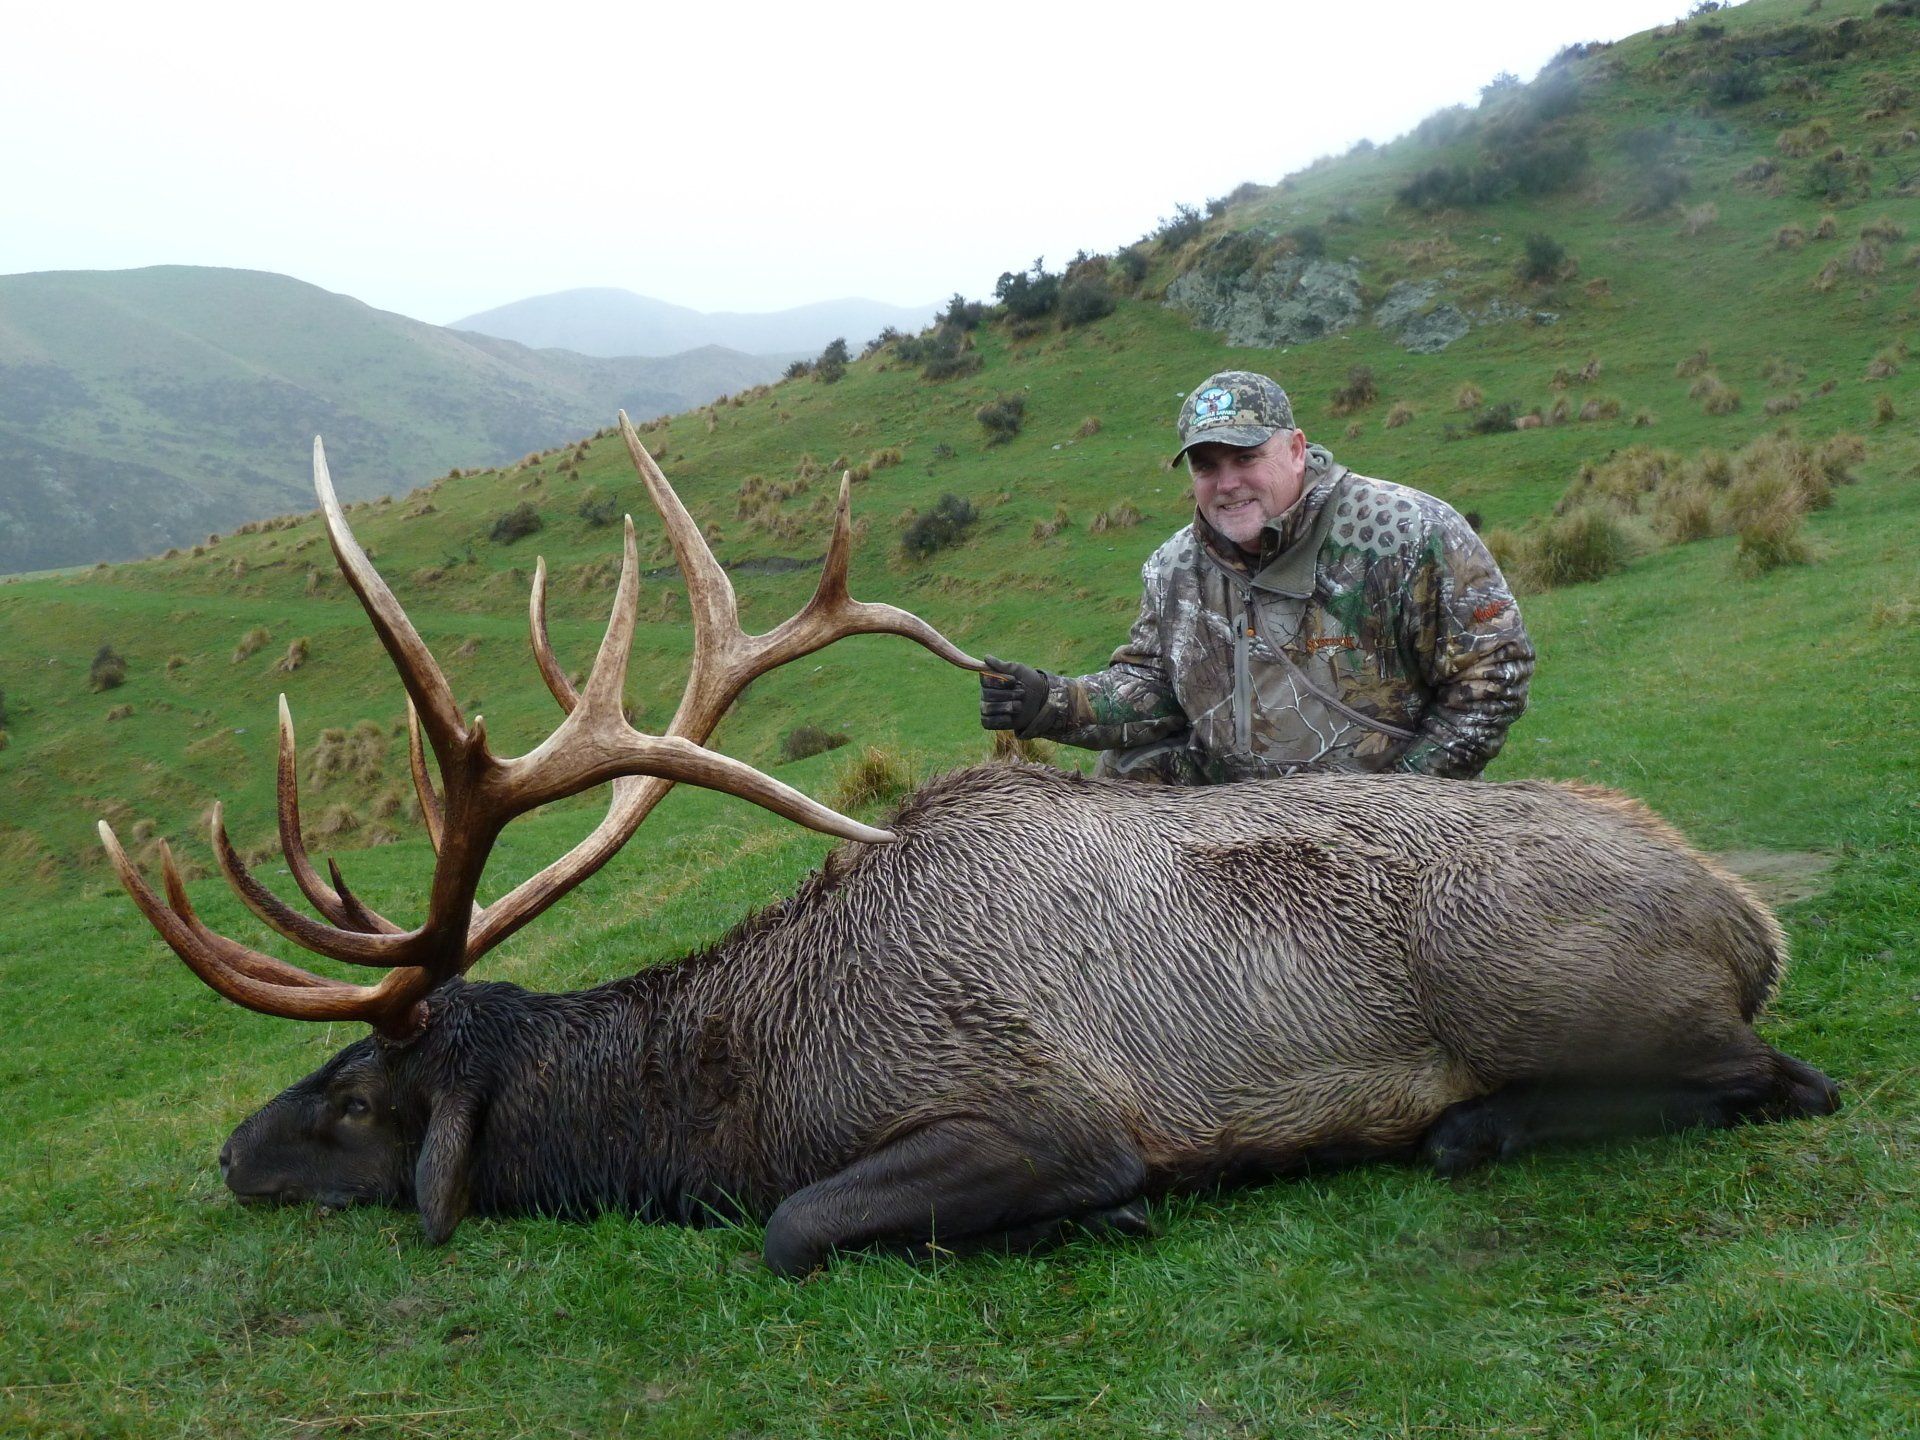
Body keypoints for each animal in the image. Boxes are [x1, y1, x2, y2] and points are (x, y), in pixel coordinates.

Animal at [100, 415, 1839, 1276]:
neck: (727, 1104)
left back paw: (1474, 1125)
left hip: (1557, 990)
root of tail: (1750, 918)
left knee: (1776, 1078)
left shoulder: (1036, 1107)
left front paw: (1114, 1213)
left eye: (352, 1097)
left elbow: (799, 1228)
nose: (230, 1153)